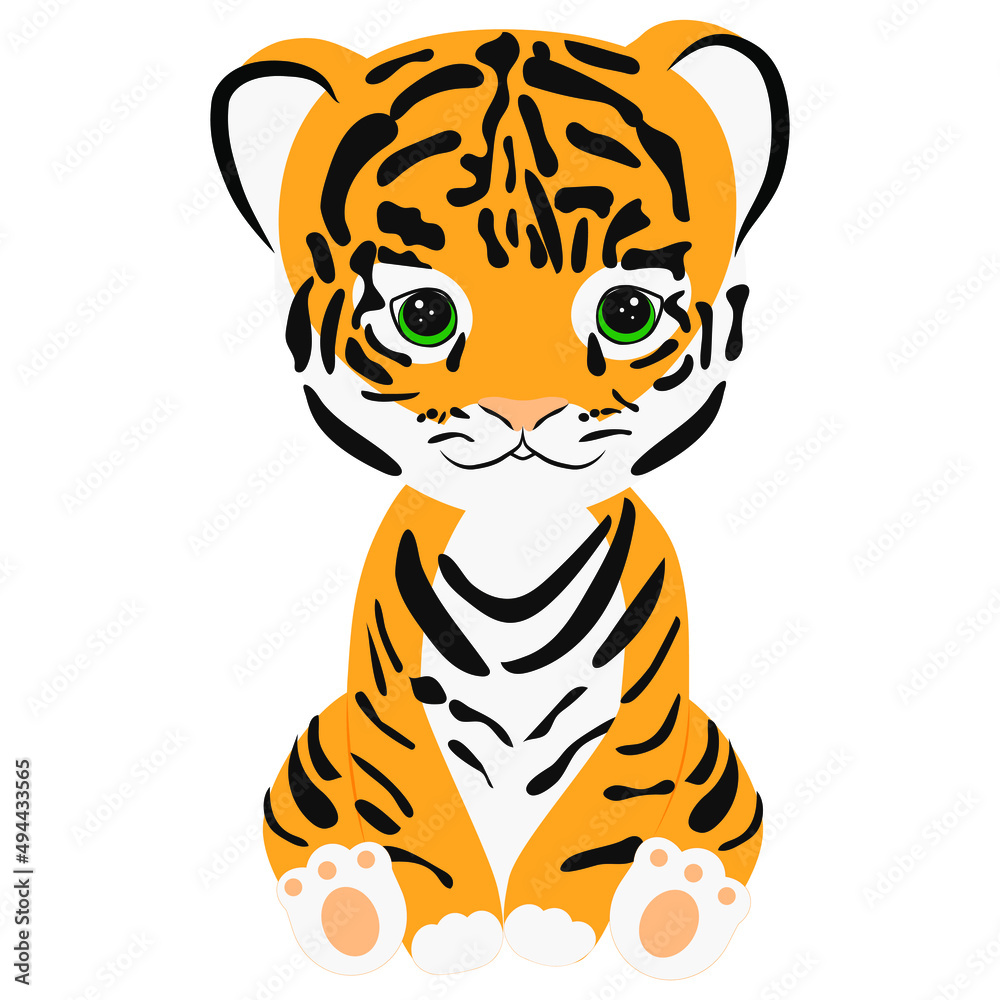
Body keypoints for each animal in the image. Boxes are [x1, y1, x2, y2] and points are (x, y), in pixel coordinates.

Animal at [211, 19, 788, 979]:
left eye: (626, 311)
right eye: (424, 315)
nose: (525, 408)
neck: (518, 543)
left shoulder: (645, 714)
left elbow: (603, 811)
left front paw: (550, 923)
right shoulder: (388, 706)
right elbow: (416, 812)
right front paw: (453, 930)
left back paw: (678, 902)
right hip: (324, 739)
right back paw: (342, 900)